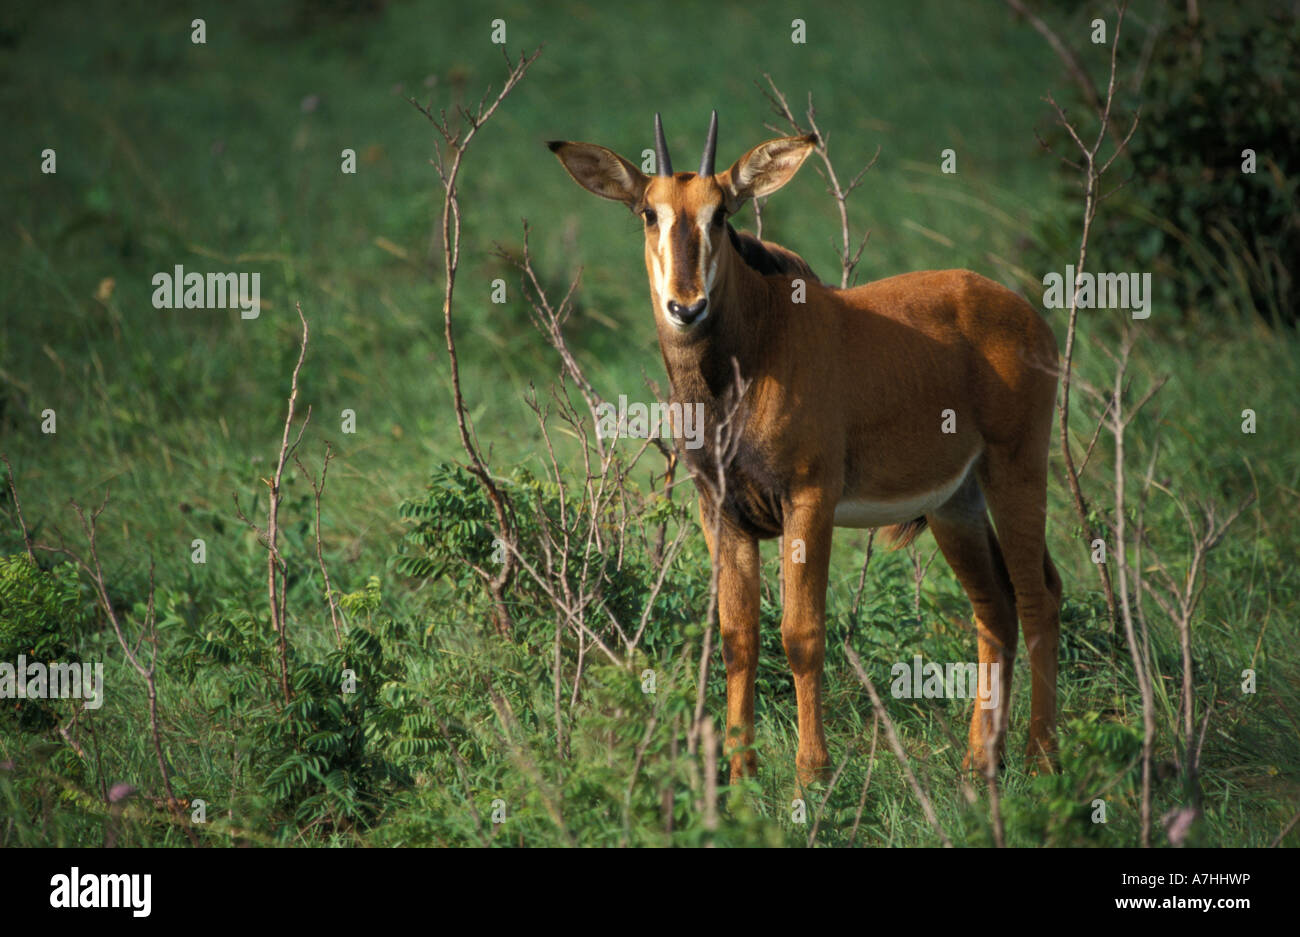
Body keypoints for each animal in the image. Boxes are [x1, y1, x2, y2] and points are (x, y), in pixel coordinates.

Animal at [549, 112, 1062, 787]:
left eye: (721, 213)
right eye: (648, 213)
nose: (687, 306)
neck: (750, 351)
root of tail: (1027, 314)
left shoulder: (809, 497)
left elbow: (801, 633)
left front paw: (812, 773)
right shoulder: (722, 510)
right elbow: (738, 636)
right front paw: (739, 771)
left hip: (1017, 468)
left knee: (1038, 598)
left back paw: (1041, 758)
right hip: (957, 503)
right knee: (995, 607)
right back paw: (981, 763)